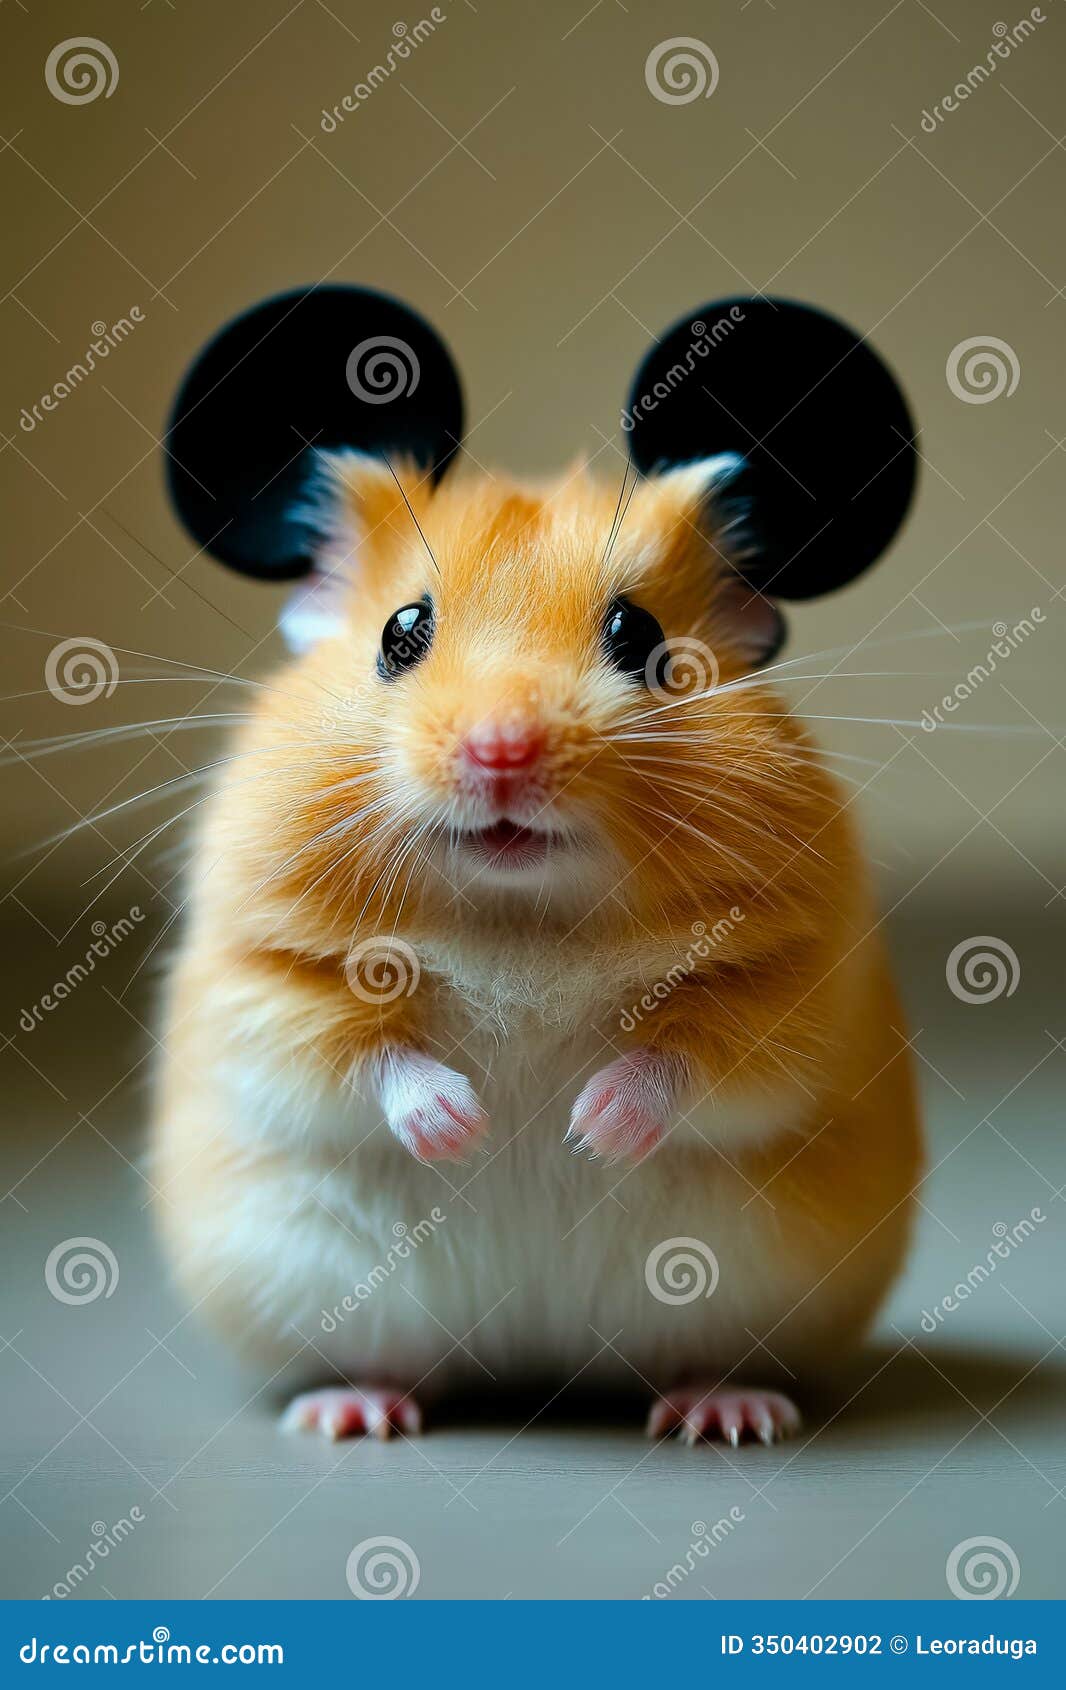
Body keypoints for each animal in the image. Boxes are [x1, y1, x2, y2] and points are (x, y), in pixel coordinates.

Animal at [150, 287, 922, 1444]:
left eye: (640, 635)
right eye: (401, 632)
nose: (501, 752)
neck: (519, 915)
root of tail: (535, 1365)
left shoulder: (789, 985)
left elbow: (690, 1060)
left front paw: (588, 1131)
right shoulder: (270, 977)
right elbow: (362, 1057)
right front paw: (463, 1126)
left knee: (703, 1361)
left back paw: (724, 1412)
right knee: (385, 1364)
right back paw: (353, 1412)